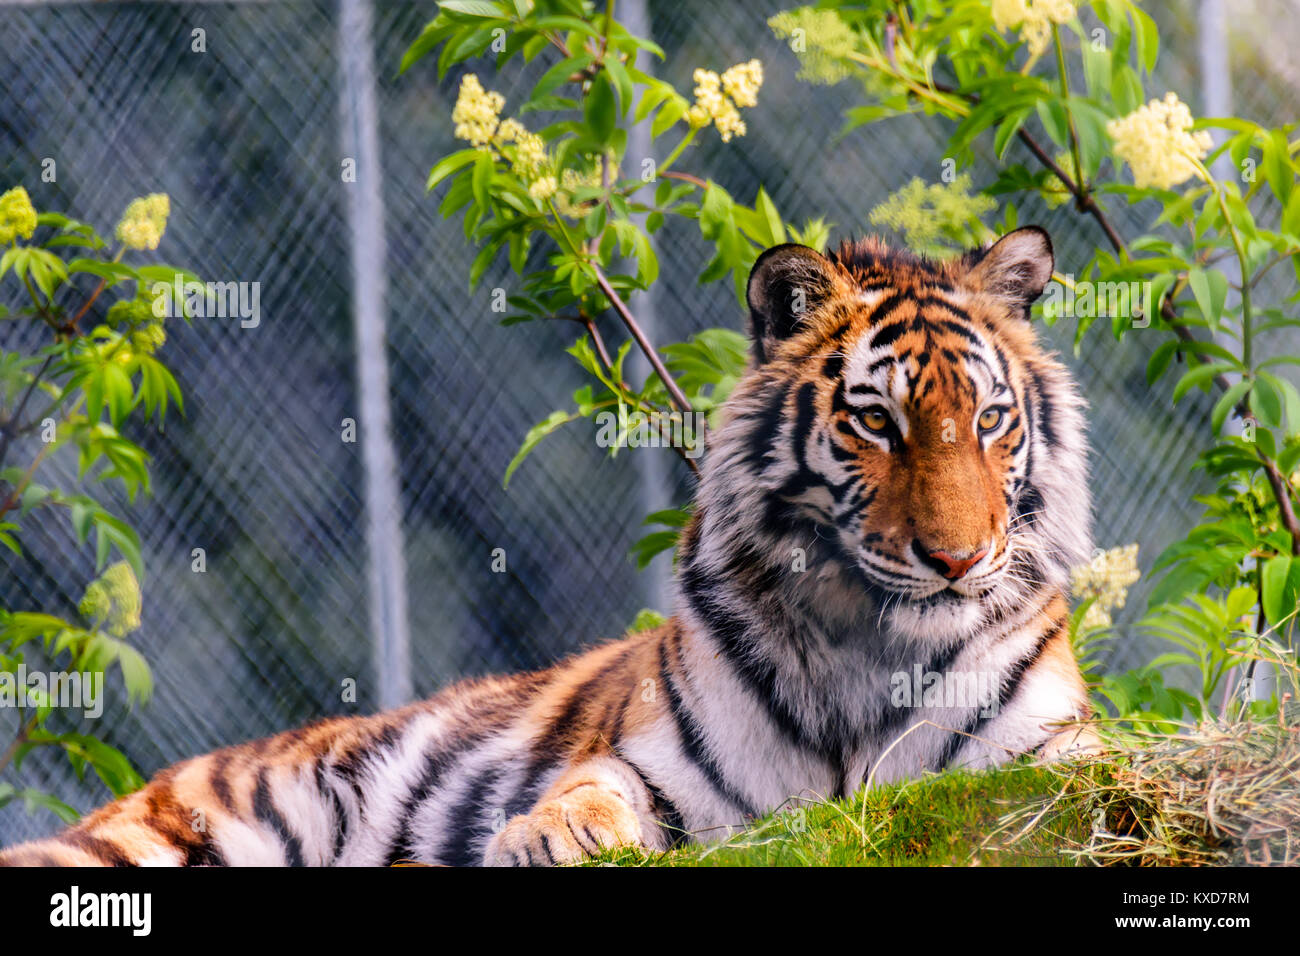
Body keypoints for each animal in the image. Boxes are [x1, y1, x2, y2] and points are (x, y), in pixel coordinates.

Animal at [0, 225, 1097, 867]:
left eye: (989, 419)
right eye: (877, 422)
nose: (957, 560)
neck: (872, 645)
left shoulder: (1045, 750)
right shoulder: (656, 757)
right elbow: (594, 783)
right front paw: (547, 831)